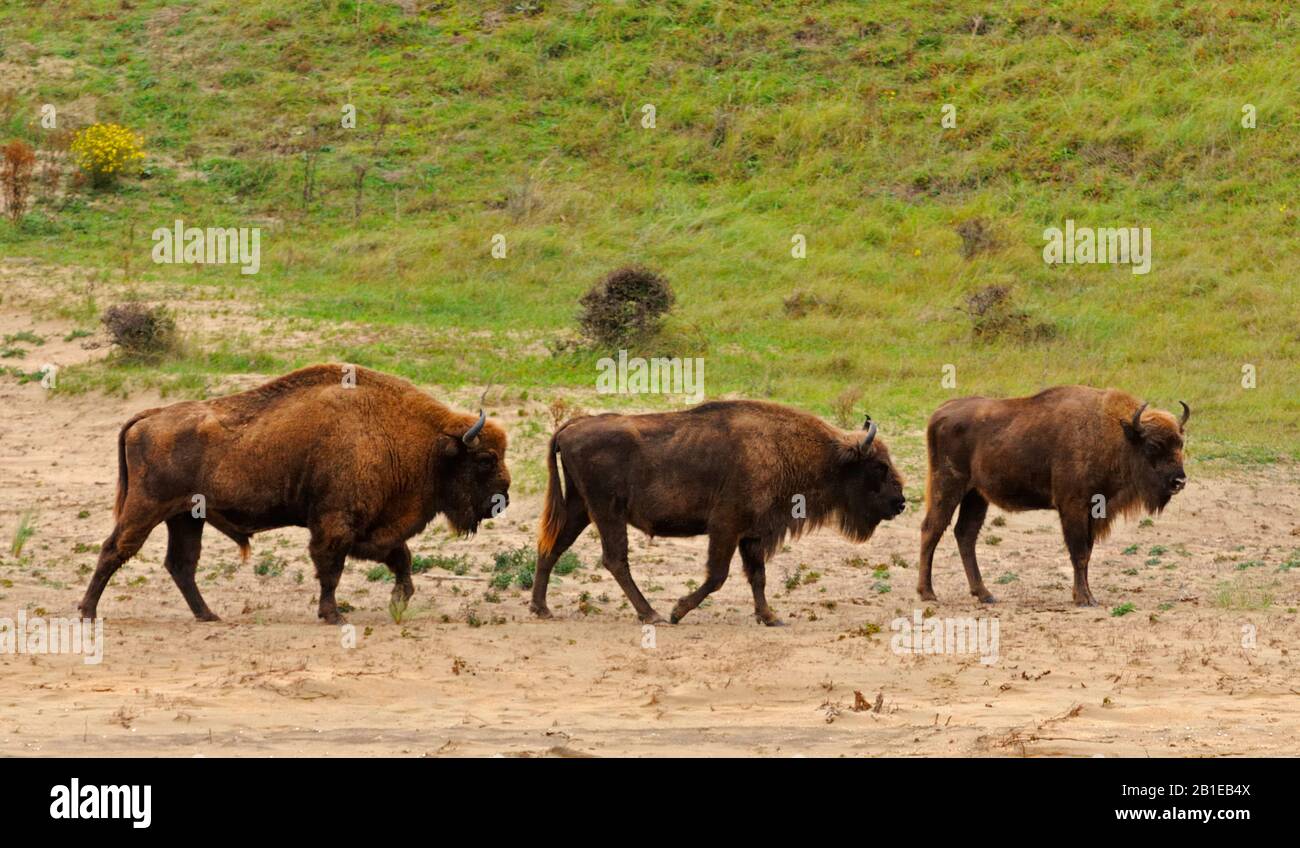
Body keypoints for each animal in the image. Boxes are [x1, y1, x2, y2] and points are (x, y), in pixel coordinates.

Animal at [78, 364, 510, 624]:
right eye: (485, 459)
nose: (502, 499)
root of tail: (148, 416)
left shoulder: (374, 530)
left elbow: (401, 559)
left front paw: (397, 602)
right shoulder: (337, 524)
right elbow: (331, 569)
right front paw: (333, 615)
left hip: (186, 517)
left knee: (181, 565)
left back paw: (209, 615)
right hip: (147, 508)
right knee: (115, 549)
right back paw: (87, 611)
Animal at [530, 400, 906, 625]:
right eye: (879, 466)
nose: (901, 502)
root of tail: (571, 427)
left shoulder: (753, 535)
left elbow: (758, 576)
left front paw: (770, 617)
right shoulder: (726, 527)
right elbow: (718, 576)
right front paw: (678, 611)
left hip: (581, 509)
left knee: (553, 548)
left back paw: (542, 608)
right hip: (607, 512)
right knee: (614, 559)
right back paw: (652, 614)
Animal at [918, 386, 1188, 606]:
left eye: (1180, 443)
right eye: (1153, 445)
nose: (1179, 481)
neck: (1116, 434)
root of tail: (941, 411)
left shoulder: (1093, 511)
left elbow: (1087, 553)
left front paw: (1085, 595)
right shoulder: (1073, 507)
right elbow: (1079, 553)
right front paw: (1084, 599)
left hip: (976, 495)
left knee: (965, 534)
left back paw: (985, 594)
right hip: (949, 486)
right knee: (932, 529)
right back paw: (928, 593)